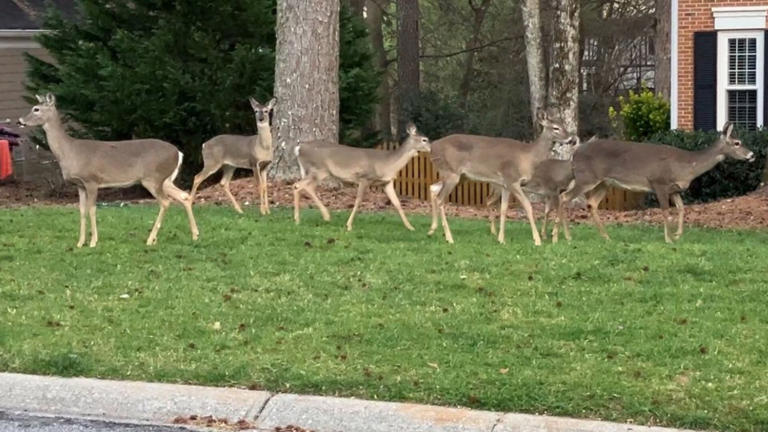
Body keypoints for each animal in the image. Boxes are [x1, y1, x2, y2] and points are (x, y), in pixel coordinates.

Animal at [18, 94, 199, 247]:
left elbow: (92, 209)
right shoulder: (79, 185)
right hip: (165, 180)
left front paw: (93, 242)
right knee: (184, 196)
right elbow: (81, 211)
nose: (20, 121)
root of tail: (178, 153)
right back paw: (195, 235)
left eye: (36, 108)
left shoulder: (92, 180)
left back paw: (150, 239)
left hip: (153, 178)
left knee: (166, 202)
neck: (69, 151)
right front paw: (80, 243)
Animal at [292, 122, 430, 231]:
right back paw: (323, 216)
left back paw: (300, 219)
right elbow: (358, 200)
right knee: (300, 185)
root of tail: (299, 147)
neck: (387, 164)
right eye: (424, 139)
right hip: (318, 169)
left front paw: (410, 227)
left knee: (301, 186)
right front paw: (349, 225)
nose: (430, 148)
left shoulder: (386, 182)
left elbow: (397, 203)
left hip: (315, 171)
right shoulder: (364, 178)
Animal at [427, 110, 572, 245]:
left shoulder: (505, 184)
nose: (571, 139)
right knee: (440, 199)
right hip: (451, 172)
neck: (528, 157)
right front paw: (537, 240)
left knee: (433, 187)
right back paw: (449, 238)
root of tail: (432, 147)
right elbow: (528, 206)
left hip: (459, 176)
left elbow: (503, 209)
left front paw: (501, 239)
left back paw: (432, 230)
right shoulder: (513, 180)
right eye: (555, 128)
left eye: (563, 124)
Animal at [558, 121, 755, 243]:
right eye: (737, 143)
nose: (752, 155)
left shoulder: (674, 189)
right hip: (586, 178)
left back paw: (606, 237)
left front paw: (678, 235)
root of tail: (574, 153)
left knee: (591, 203)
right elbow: (666, 211)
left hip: (604, 182)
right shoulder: (658, 183)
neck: (687, 166)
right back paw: (565, 236)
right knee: (564, 197)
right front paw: (668, 239)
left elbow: (681, 208)